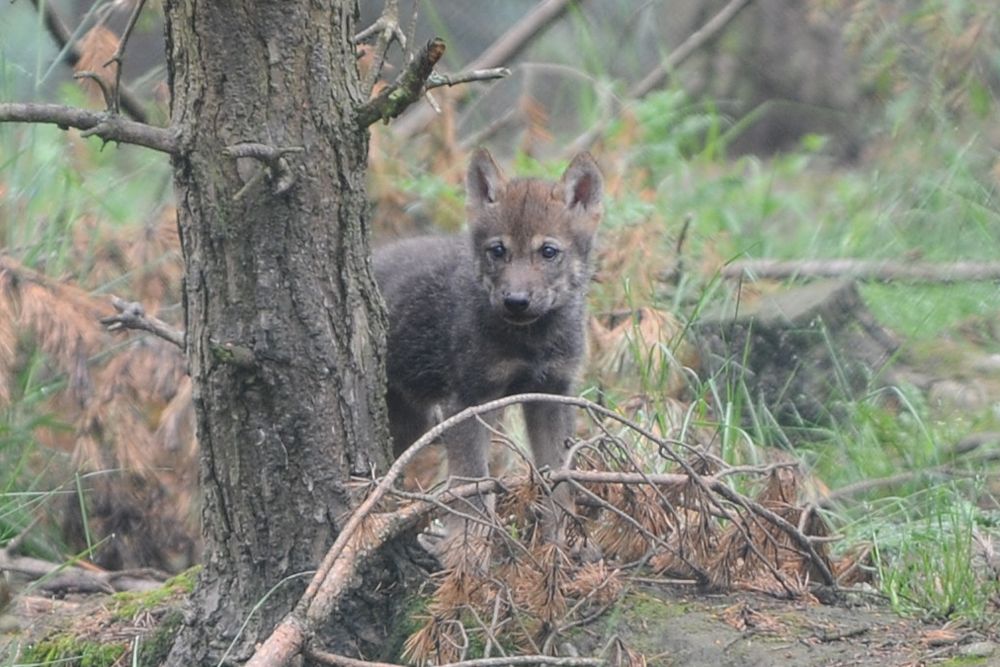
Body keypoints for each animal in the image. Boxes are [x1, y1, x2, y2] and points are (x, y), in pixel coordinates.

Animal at [373, 149, 603, 533]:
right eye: (497, 250)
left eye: (548, 252)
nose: (516, 301)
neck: (532, 343)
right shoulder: (470, 400)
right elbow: (474, 493)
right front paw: (471, 547)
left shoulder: (551, 392)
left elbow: (559, 487)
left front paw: (559, 545)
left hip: (412, 421)